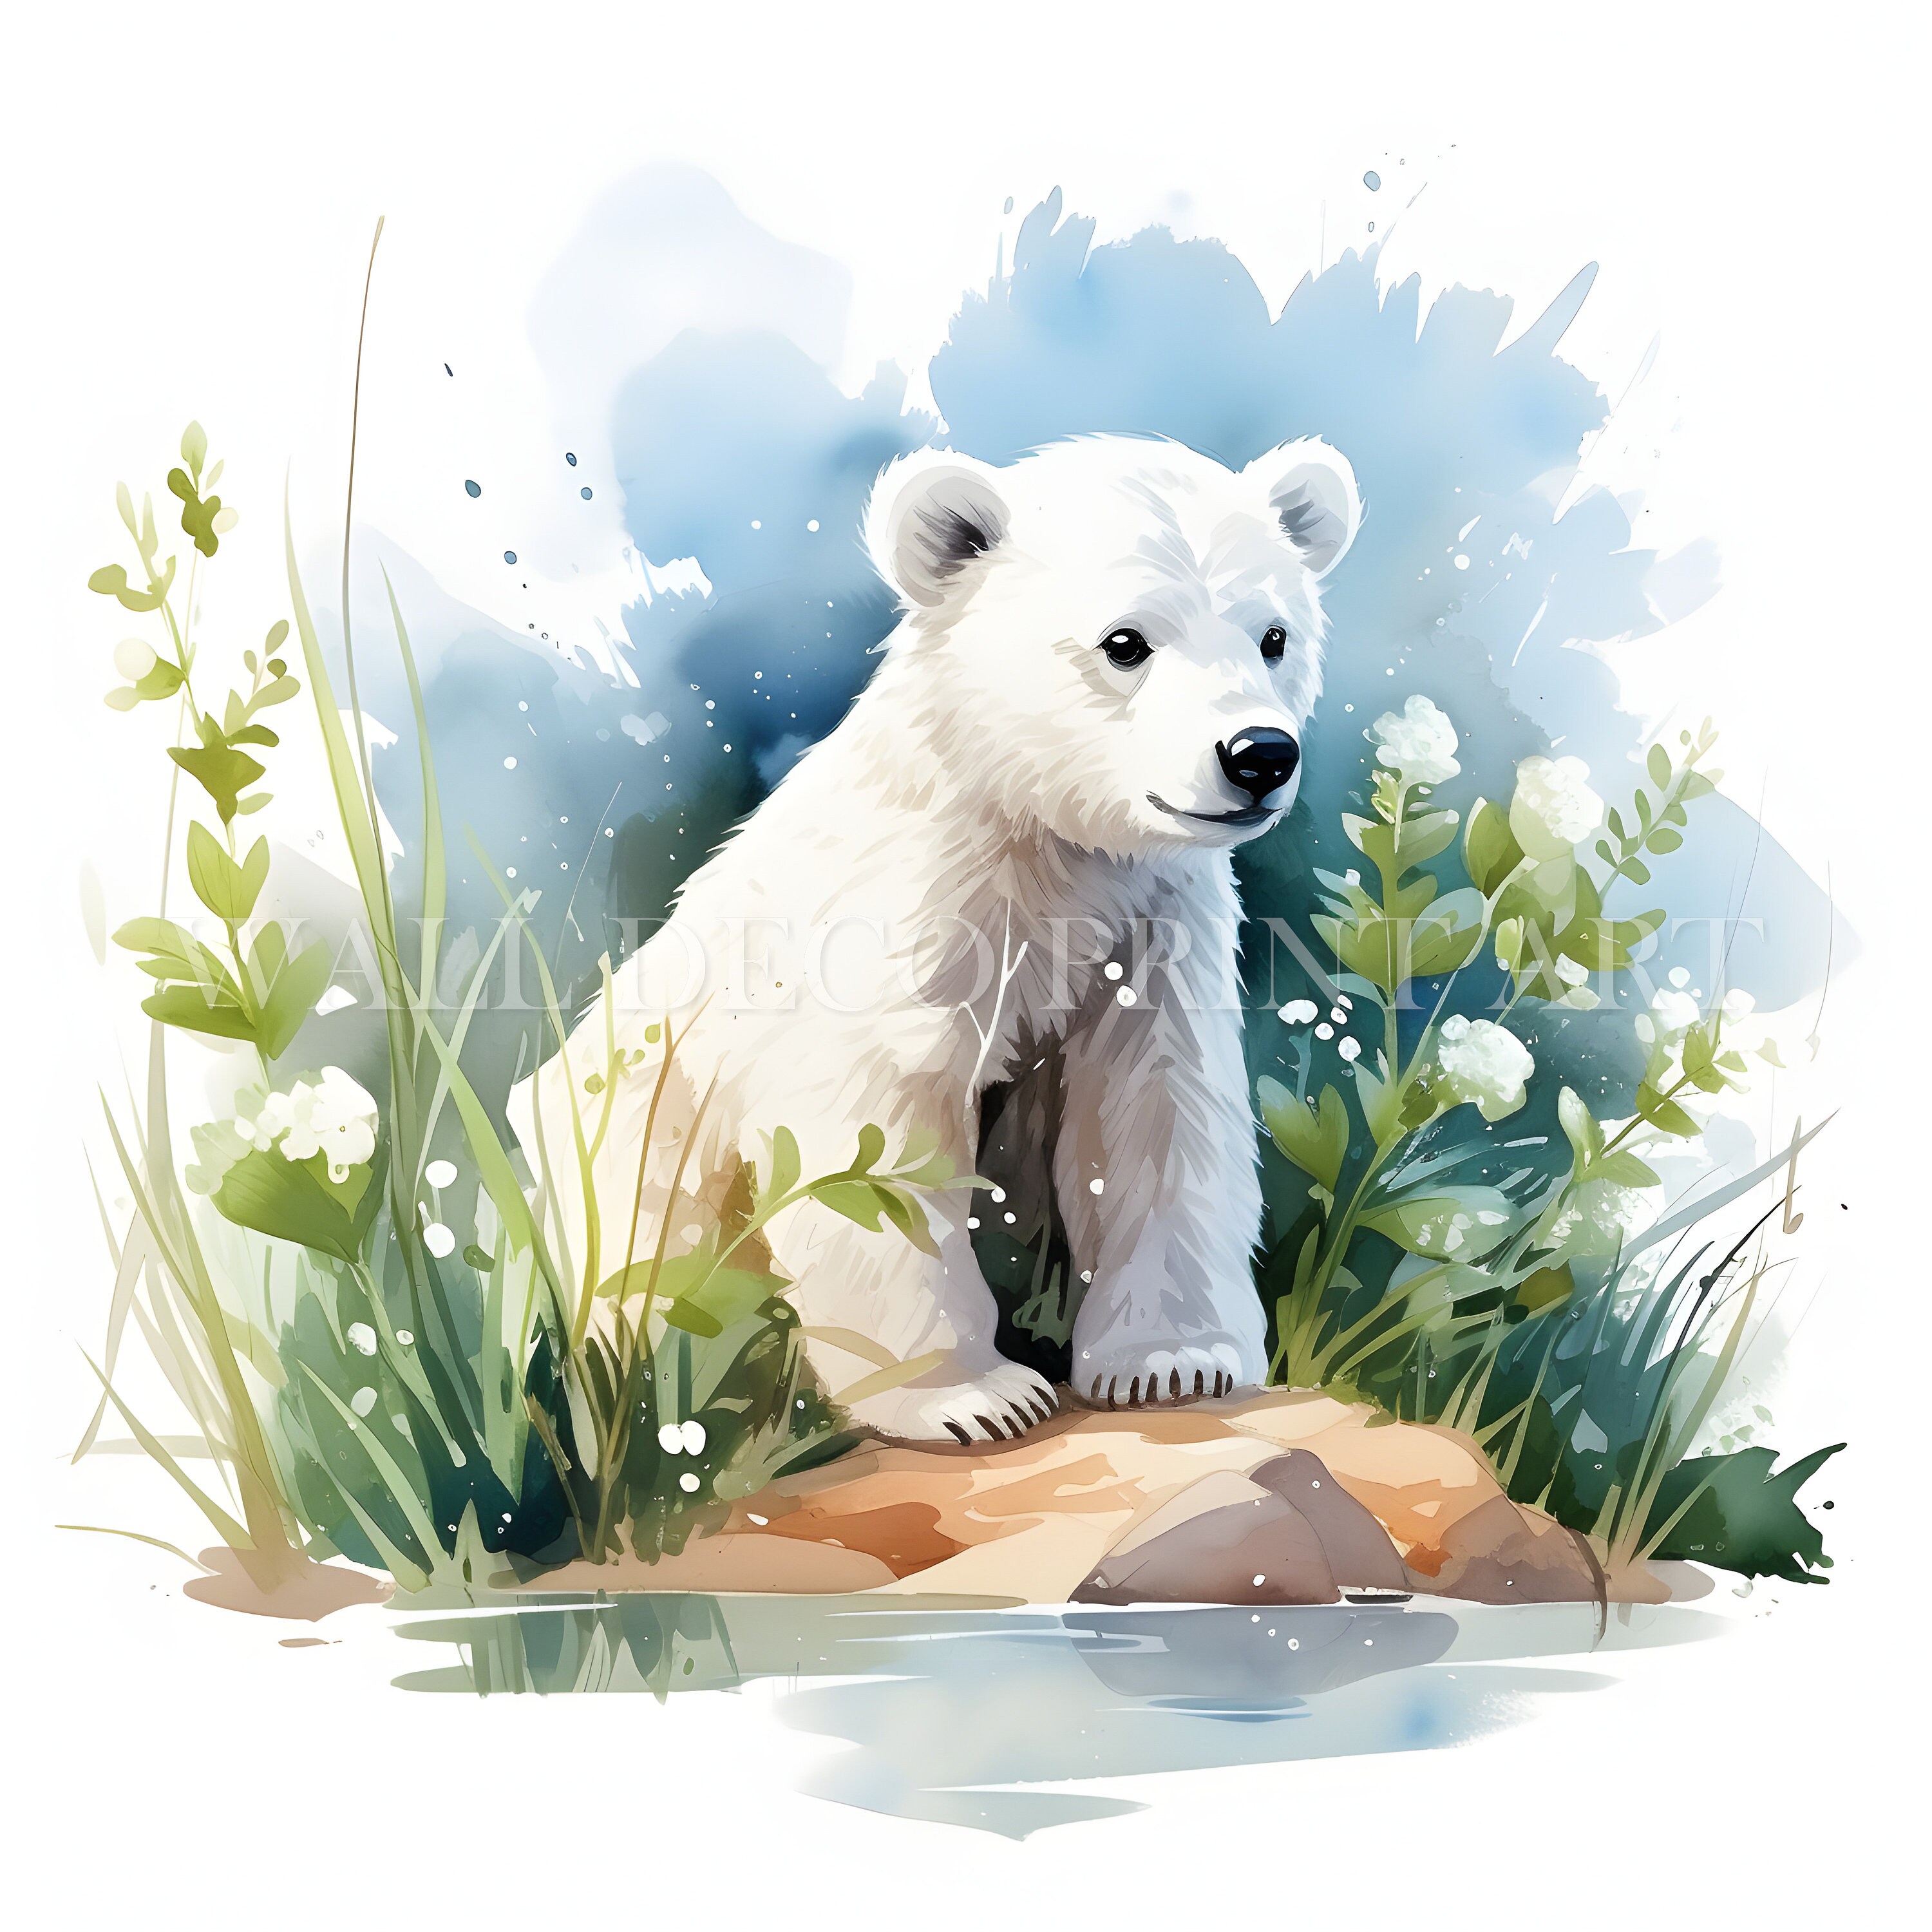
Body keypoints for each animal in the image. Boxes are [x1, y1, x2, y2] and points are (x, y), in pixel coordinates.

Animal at [509, 432, 1362, 1442]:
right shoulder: (898, 921)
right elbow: (873, 1138)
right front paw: (973, 1397)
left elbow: (1153, 1108)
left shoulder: (1151, 920)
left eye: (1273, 637)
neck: (1038, 837)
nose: (1259, 755)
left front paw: (1173, 1362)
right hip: (635, 1148)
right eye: (1126, 642)